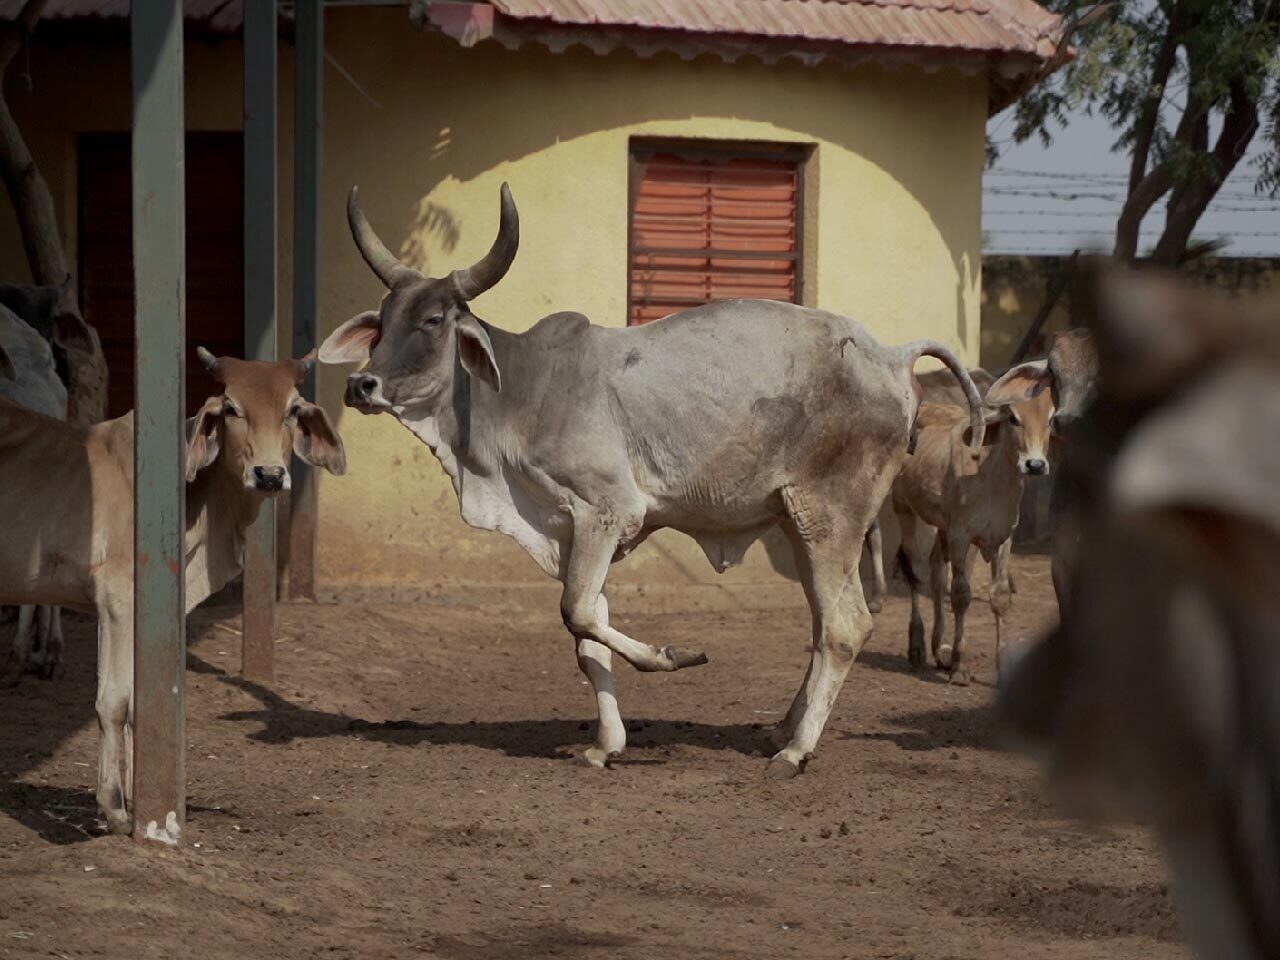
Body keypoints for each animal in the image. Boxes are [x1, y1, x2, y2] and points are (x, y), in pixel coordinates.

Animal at [0, 351, 346, 834]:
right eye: (232, 408)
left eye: (293, 410)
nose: (269, 475)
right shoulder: (117, 598)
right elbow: (113, 703)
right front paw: (114, 807)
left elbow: (133, 703)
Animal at [318, 183, 985, 777]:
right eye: (382, 321)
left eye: (433, 319)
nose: (361, 385)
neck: (524, 392)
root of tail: (892, 356)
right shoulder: (571, 532)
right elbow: (587, 637)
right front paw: (605, 745)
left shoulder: (608, 512)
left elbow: (578, 613)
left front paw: (675, 655)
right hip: (800, 525)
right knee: (824, 625)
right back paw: (784, 729)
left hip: (829, 517)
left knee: (846, 626)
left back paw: (795, 752)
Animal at [892, 364, 1055, 683]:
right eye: (1013, 418)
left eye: (1051, 419)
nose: (1035, 465)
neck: (992, 477)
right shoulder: (960, 534)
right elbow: (961, 595)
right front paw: (960, 666)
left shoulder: (1004, 537)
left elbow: (1000, 597)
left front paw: (1000, 666)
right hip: (905, 511)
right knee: (915, 571)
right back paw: (917, 648)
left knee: (936, 571)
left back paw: (937, 649)